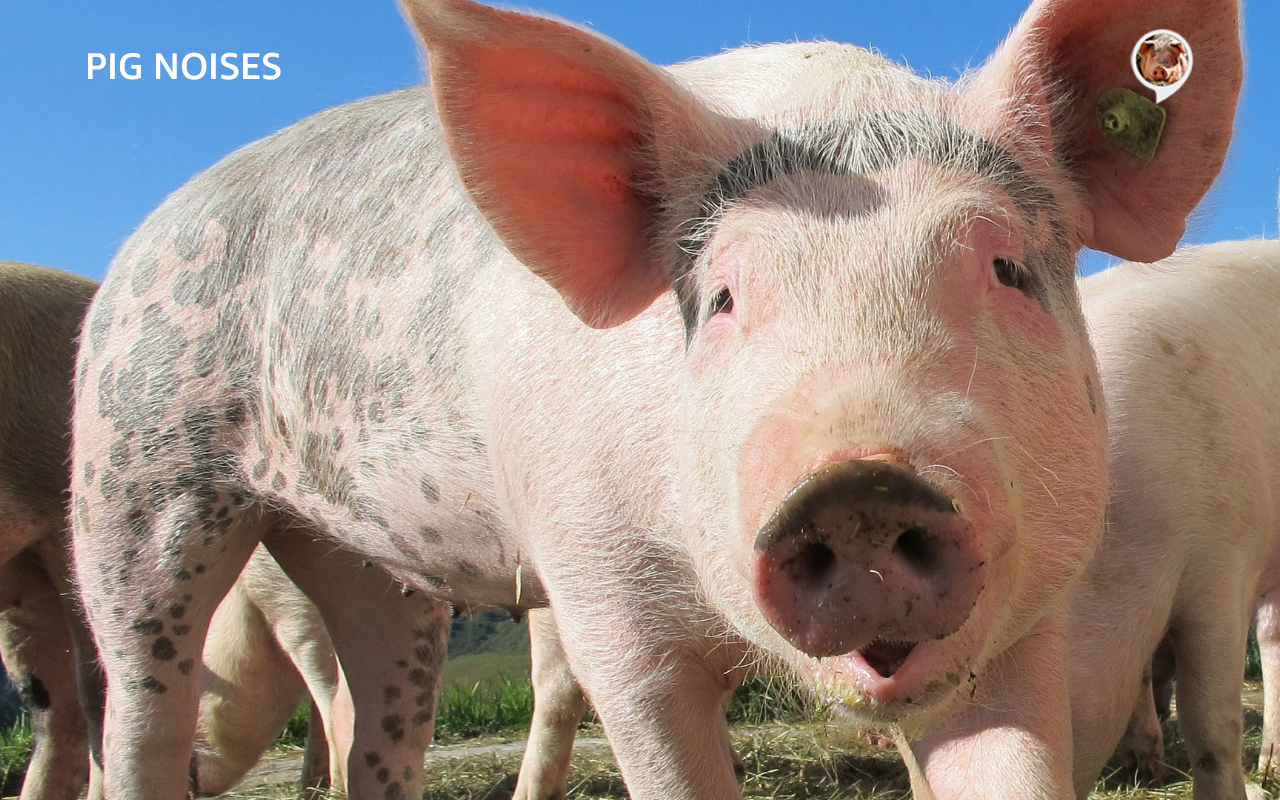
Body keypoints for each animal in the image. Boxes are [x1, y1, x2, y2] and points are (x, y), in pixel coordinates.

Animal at [67, 0, 1241, 798]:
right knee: (137, 706)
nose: (858, 486)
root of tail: (144, 237)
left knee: (375, 719)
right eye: (719, 297)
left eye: (1003, 268)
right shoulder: (599, 600)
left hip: (366, 564)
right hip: (136, 466)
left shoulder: (1028, 611)